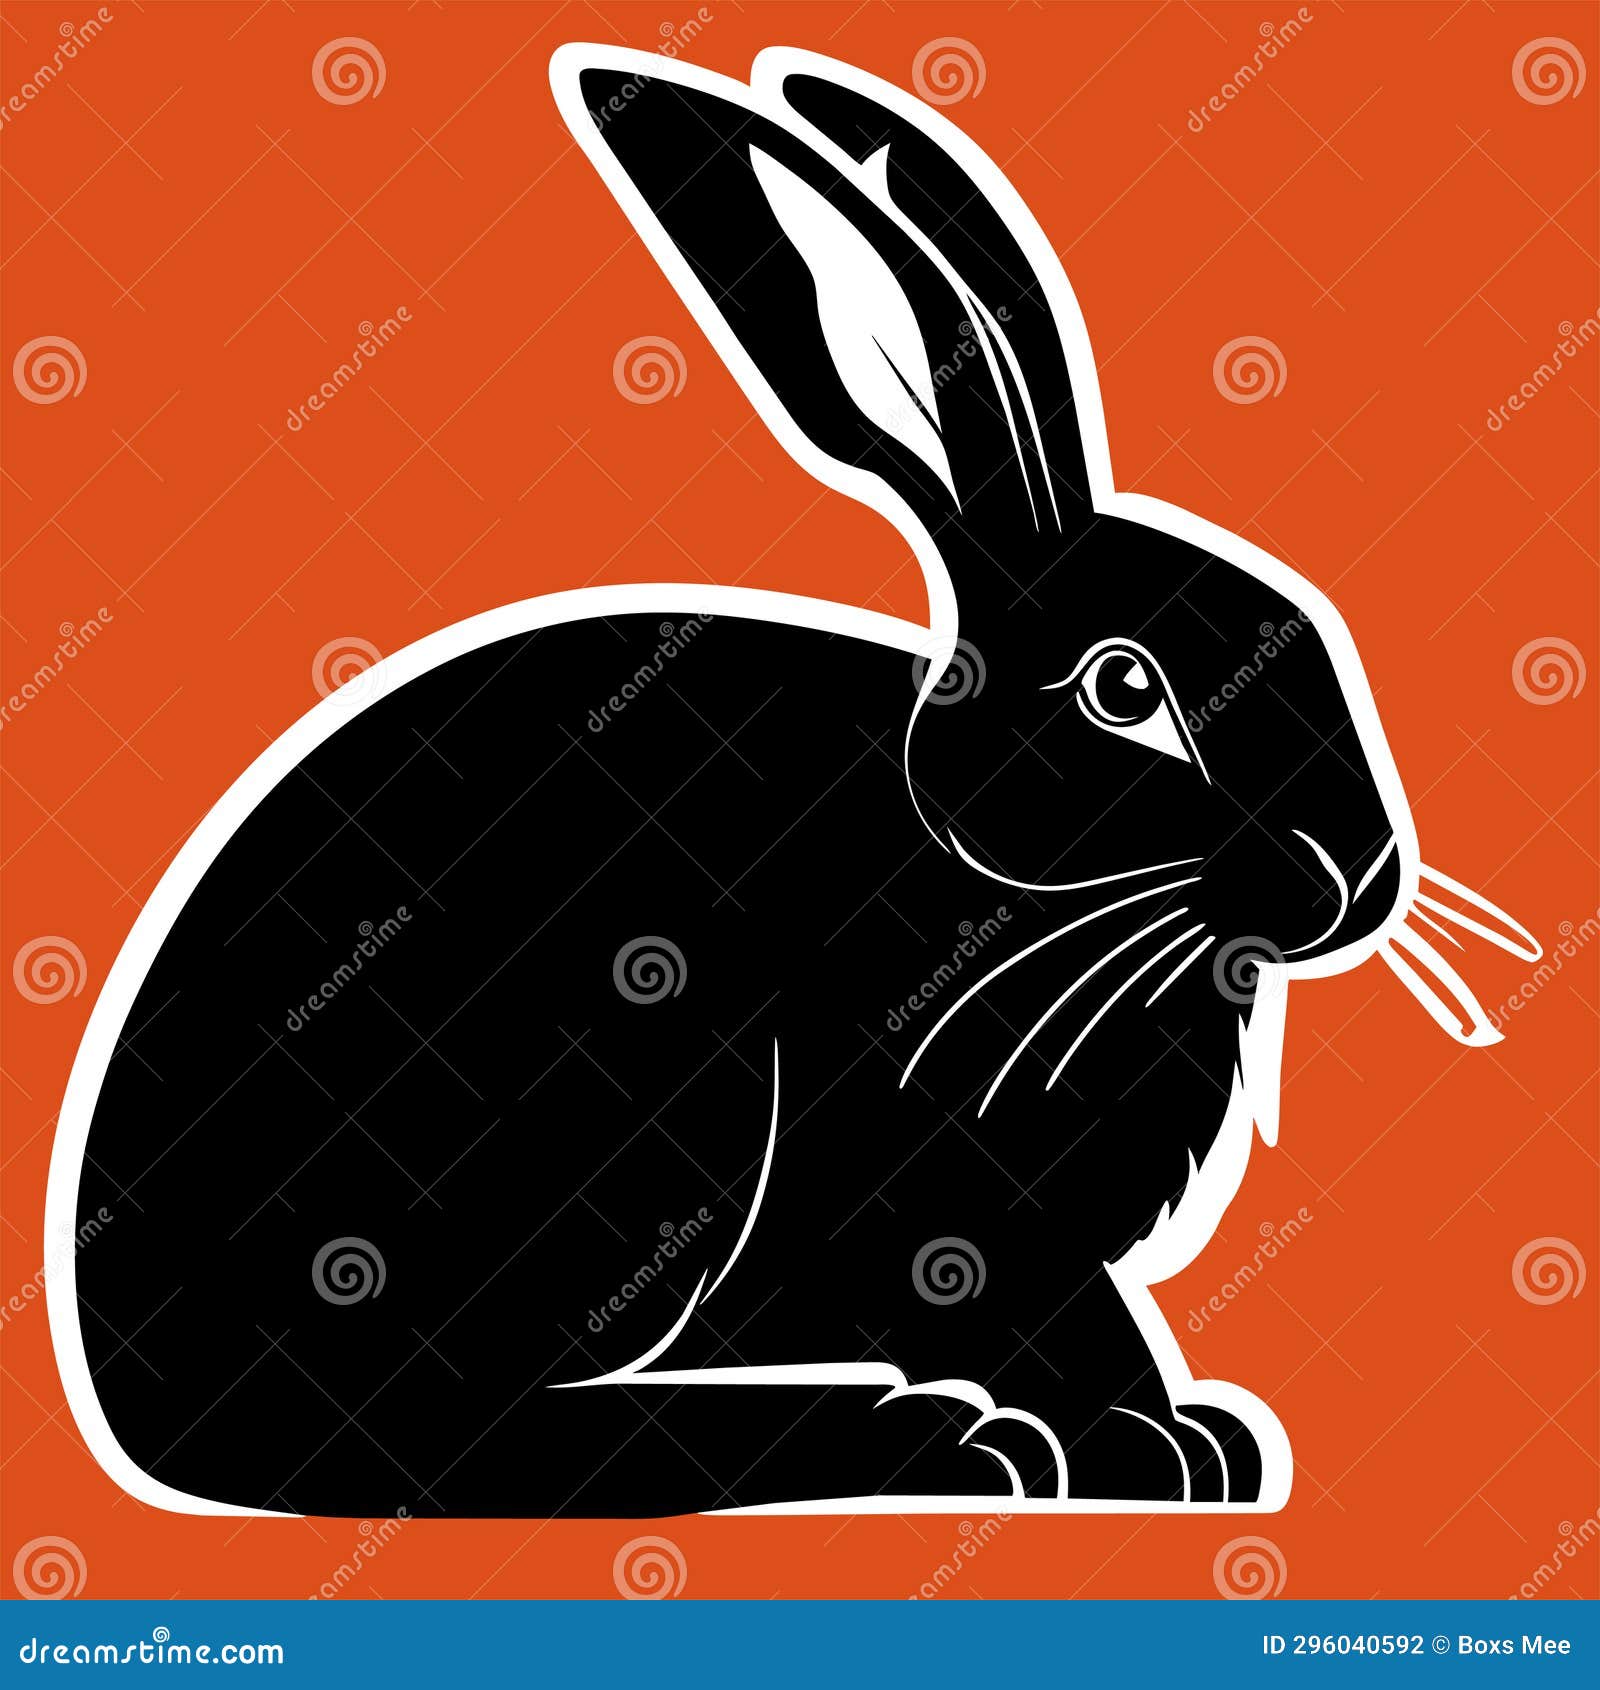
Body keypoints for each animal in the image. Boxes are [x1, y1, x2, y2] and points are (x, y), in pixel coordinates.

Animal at [44, 44, 1540, 1520]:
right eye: (1125, 689)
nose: (1357, 873)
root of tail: (127, 1362)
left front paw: (1194, 1442)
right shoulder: (927, 1202)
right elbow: (1016, 1307)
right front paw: (1135, 1449)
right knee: (423, 1439)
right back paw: (930, 1443)